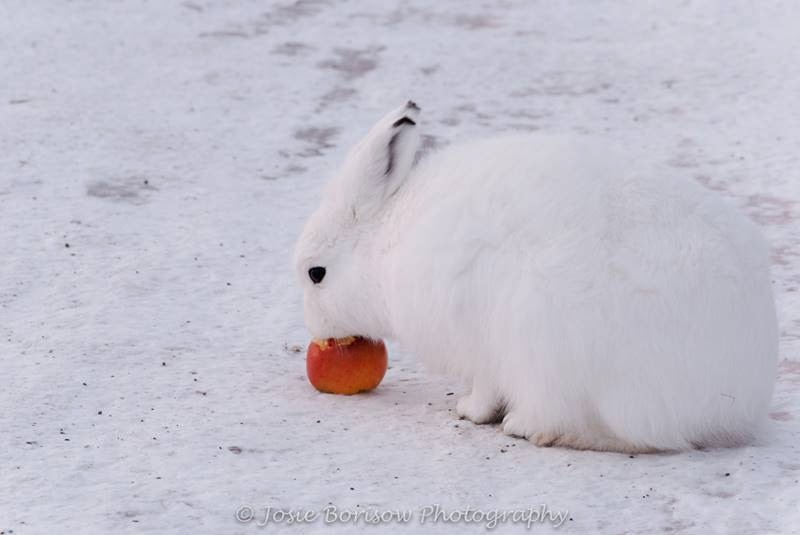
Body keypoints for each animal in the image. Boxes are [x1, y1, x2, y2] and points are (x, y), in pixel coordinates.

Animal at [293, 101, 779, 453]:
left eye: (317, 274)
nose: (317, 333)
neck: (384, 242)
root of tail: (734, 396)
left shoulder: (477, 340)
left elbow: (486, 386)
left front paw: (469, 411)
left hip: (556, 350)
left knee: (644, 437)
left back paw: (538, 430)